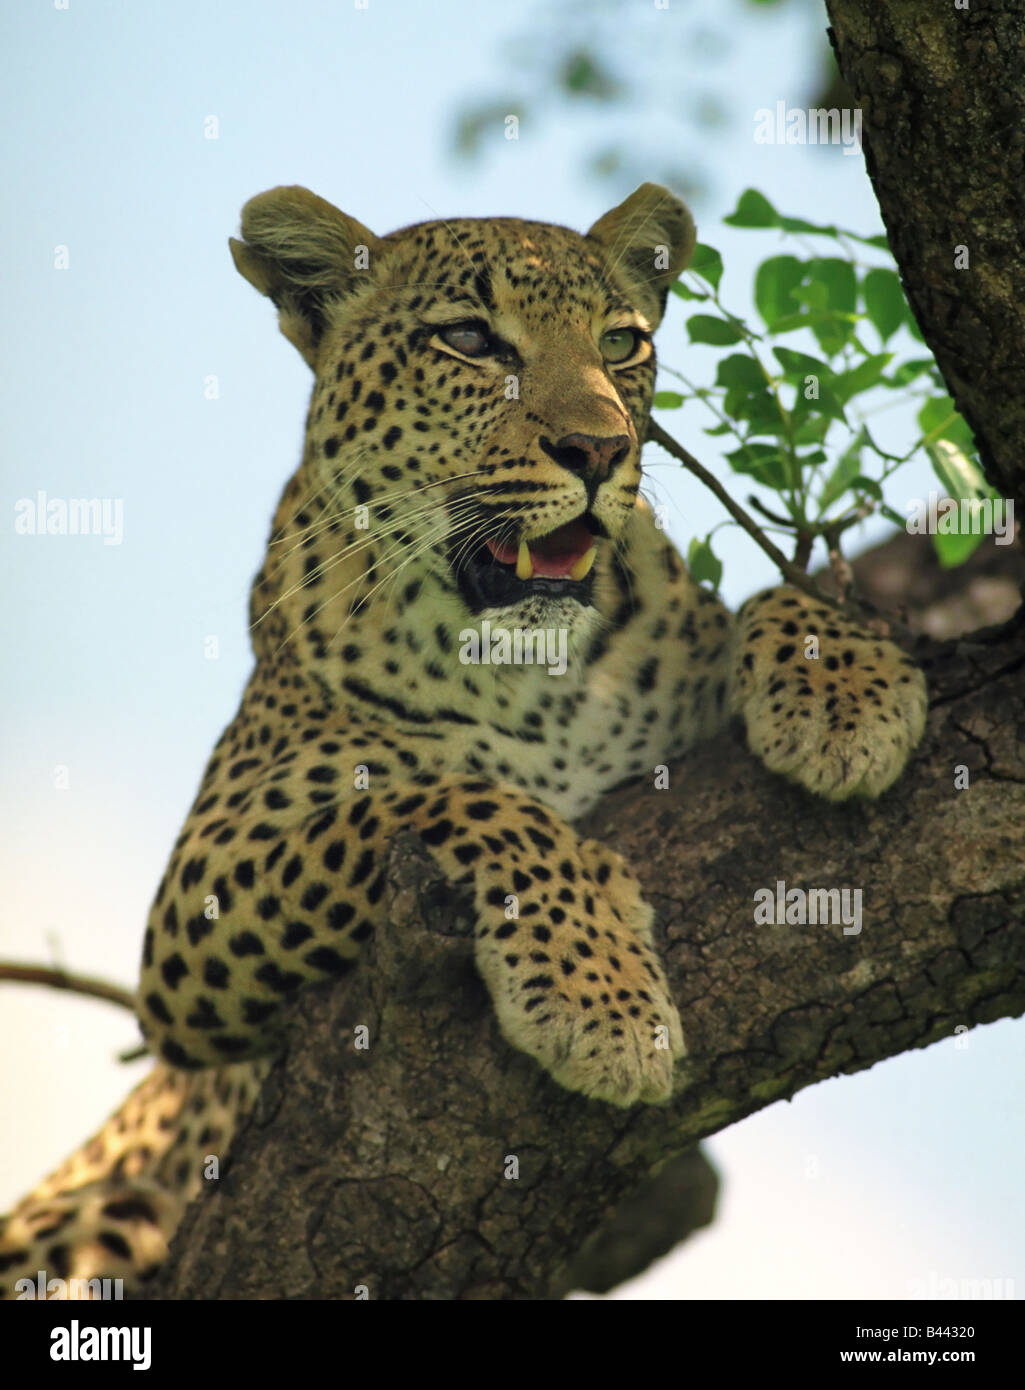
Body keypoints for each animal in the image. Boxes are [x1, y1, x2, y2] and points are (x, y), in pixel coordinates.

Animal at [0, 182, 927, 1298]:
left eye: (621, 343)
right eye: (471, 341)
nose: (600, 450)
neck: (527, 670)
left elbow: (756, 600)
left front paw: (846, 691)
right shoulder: (194, 911)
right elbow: (452, 797)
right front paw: (598, 994)